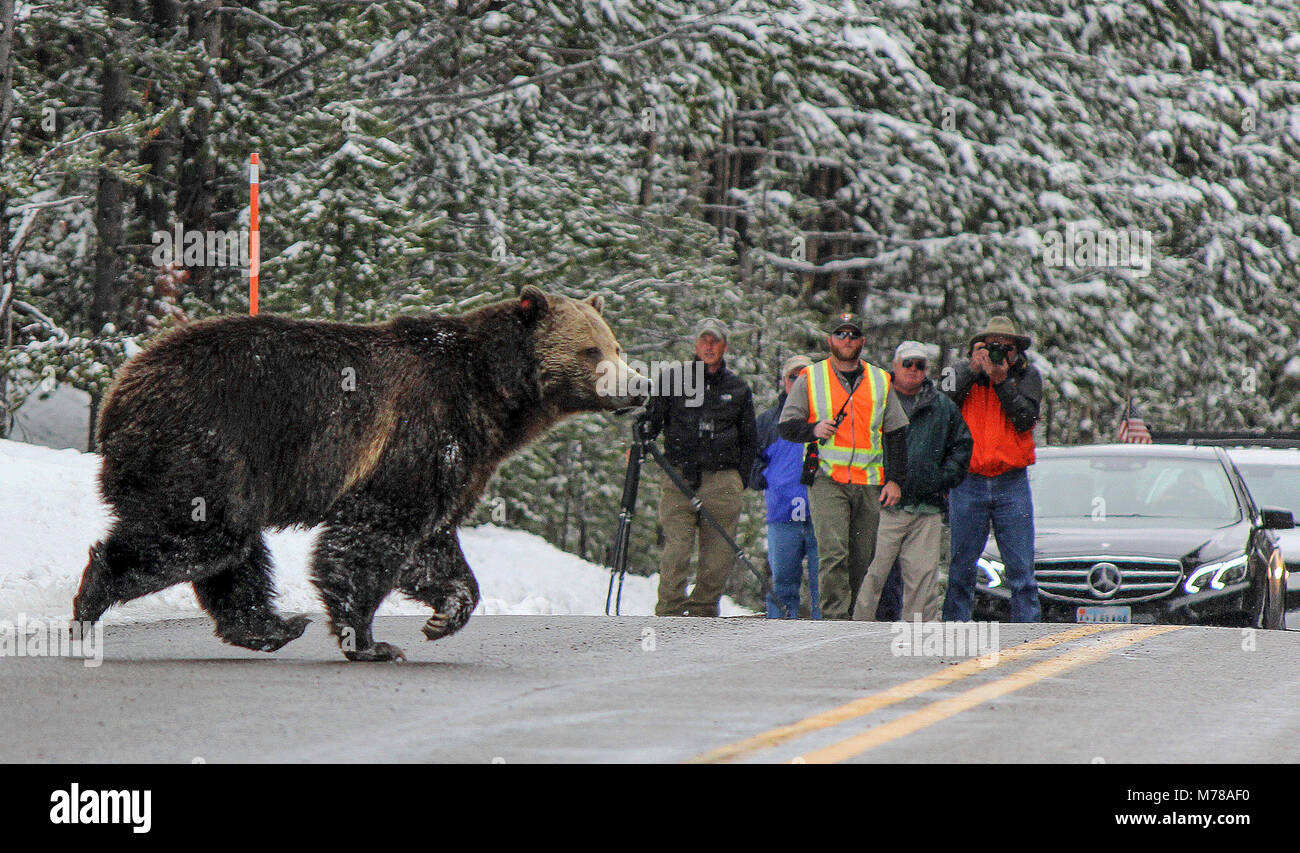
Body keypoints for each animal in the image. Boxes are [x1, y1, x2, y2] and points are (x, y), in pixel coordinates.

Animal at [73, 286, 647, 661]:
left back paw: (274, 625)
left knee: (234, 553)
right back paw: (90, 603)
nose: (639, 385)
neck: (493, 397)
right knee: (201, 537)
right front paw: (372, 641)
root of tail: (119, 390)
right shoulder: (422, 432)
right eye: (592, 349)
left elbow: (432, 544)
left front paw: (444, 614)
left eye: (616, 346)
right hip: (205, 447)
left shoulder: (461, 460)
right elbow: (373, 534)